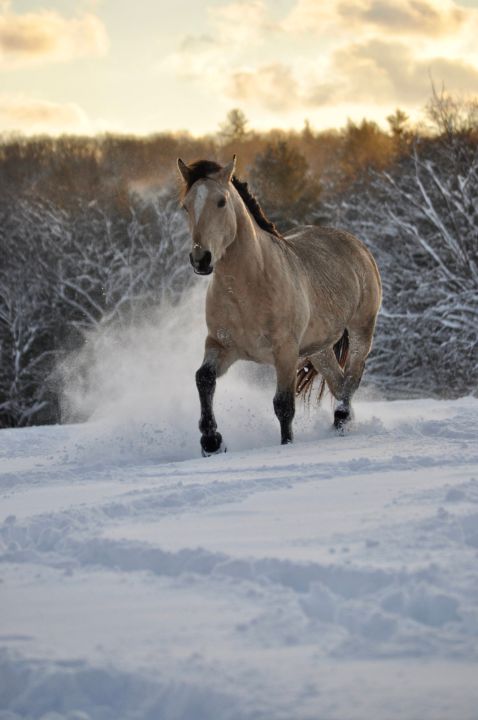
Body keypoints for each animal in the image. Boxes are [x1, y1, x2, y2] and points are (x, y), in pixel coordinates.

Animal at [177, 156, 382, 456]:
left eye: (221, 202)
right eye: (186, 205)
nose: (200, 259)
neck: (248, 289)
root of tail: (356, 245)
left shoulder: (285, 352)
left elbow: (283, 404)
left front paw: (286, 445)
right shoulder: (222, 345)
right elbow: (203, 378)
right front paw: (212, 442)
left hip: (361, 330)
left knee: (351, 378)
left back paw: (343, 423)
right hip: (319, 349)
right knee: (339, 382)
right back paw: (338, 425)